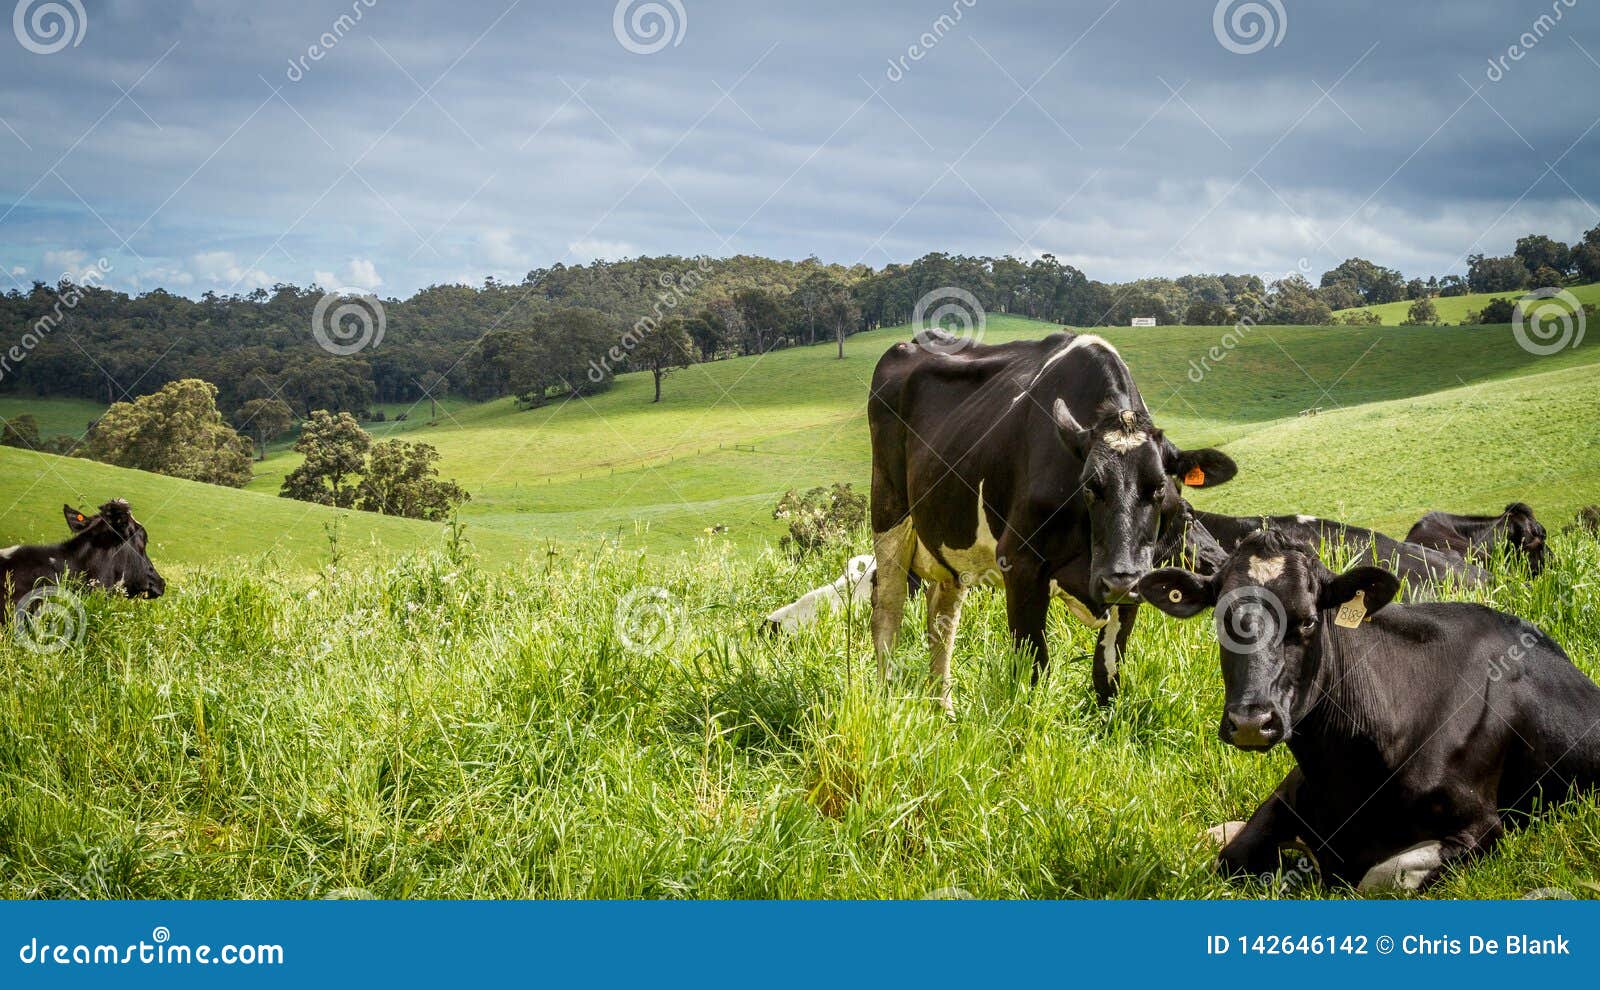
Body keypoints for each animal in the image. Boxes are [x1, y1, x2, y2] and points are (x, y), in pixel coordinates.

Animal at [867, 330, 1237, 710]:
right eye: (1089, 485)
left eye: (1160, 487)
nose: (1118, 580)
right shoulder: (1020, 562)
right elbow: (1033, 665)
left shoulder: (1135, 583)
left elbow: (1107, 673)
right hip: (889, 511)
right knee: (888, 610)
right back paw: (885, 697)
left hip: (952, 542)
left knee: (942, 619)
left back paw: (945, 709)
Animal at [1136, 530, 1600, 892]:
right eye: (1220, 619)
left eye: (1307, 621)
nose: (1252, 721)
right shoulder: (1290, 794)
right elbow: (1231, 858)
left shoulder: (1481, 825)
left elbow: (1380, 879)